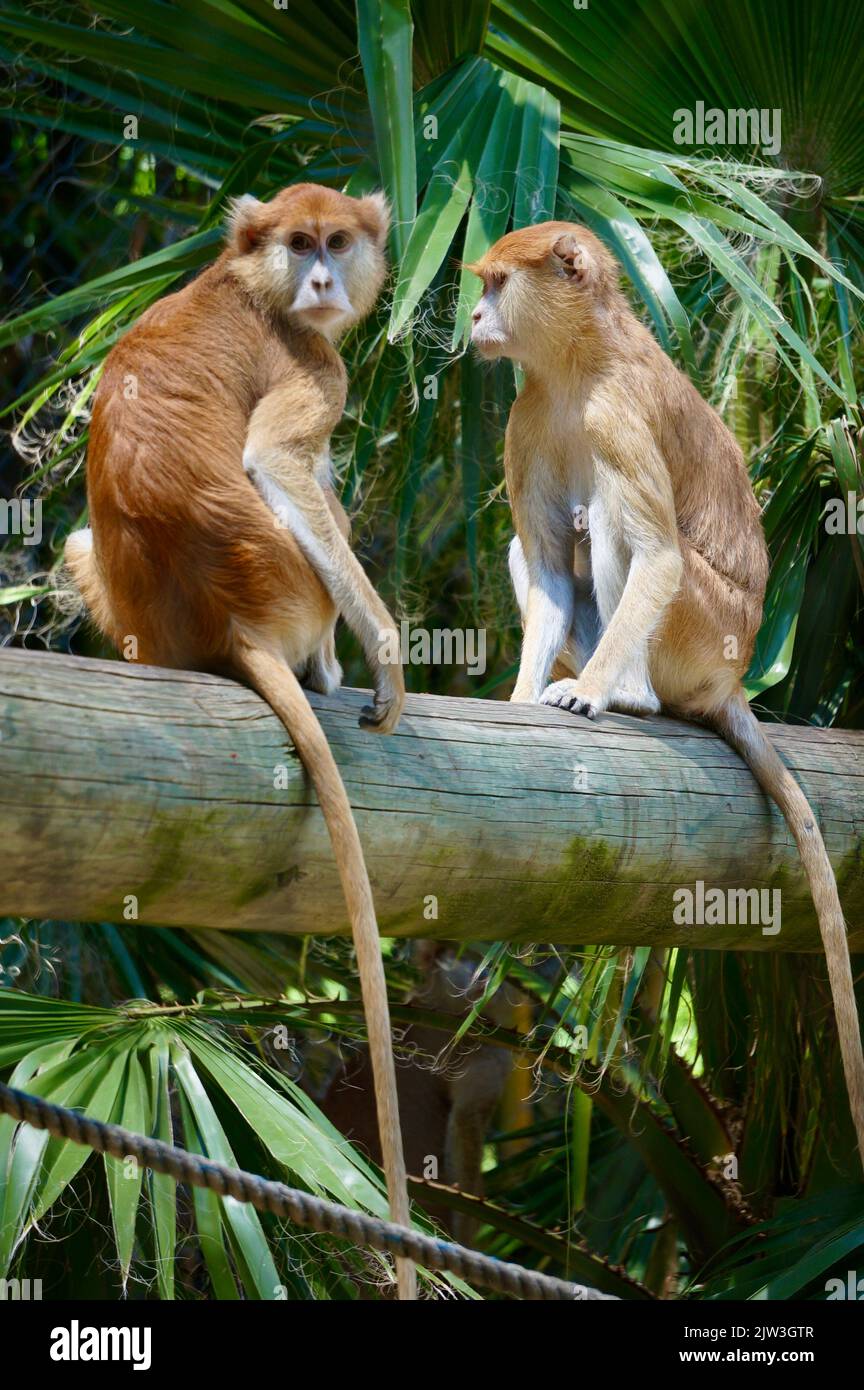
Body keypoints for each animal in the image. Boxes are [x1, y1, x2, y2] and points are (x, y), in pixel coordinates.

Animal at [64, 183, 416, 1298]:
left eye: (334, 240)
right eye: (300, 245)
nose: (323, 279)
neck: (244, 281)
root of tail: (230, 626)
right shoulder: (314, 366)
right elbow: (282, 464)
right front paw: (387, 658)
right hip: (299, 593)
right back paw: (331, 670)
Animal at [467, 221, 864, 1172]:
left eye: (495, 284)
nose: (474, 318)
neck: (578, 360)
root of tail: (733, 675)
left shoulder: (616, 413)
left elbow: (653, 552)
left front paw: (587, 699)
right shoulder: (529, 416)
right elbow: (543, 564)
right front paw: (524, 697)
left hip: (701, 632)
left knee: (617, 518)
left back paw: (632, 697)